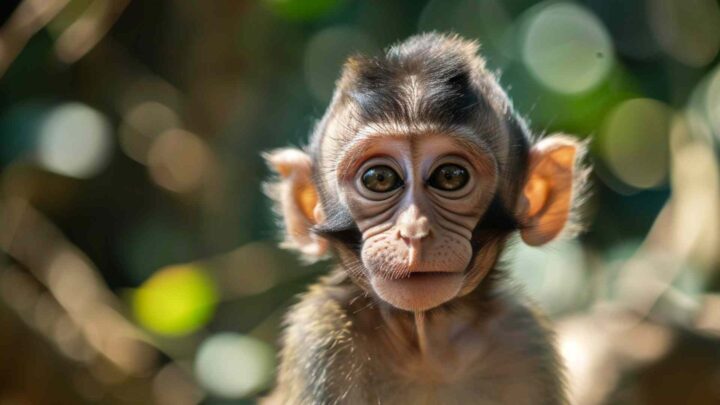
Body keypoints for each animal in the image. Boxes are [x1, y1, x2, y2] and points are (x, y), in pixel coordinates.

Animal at [262, 33, 588, 405]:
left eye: (450, 176)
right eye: (379, 178)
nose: (414, 232)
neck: (424, 342)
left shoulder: (526, 340)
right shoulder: (321, 339)